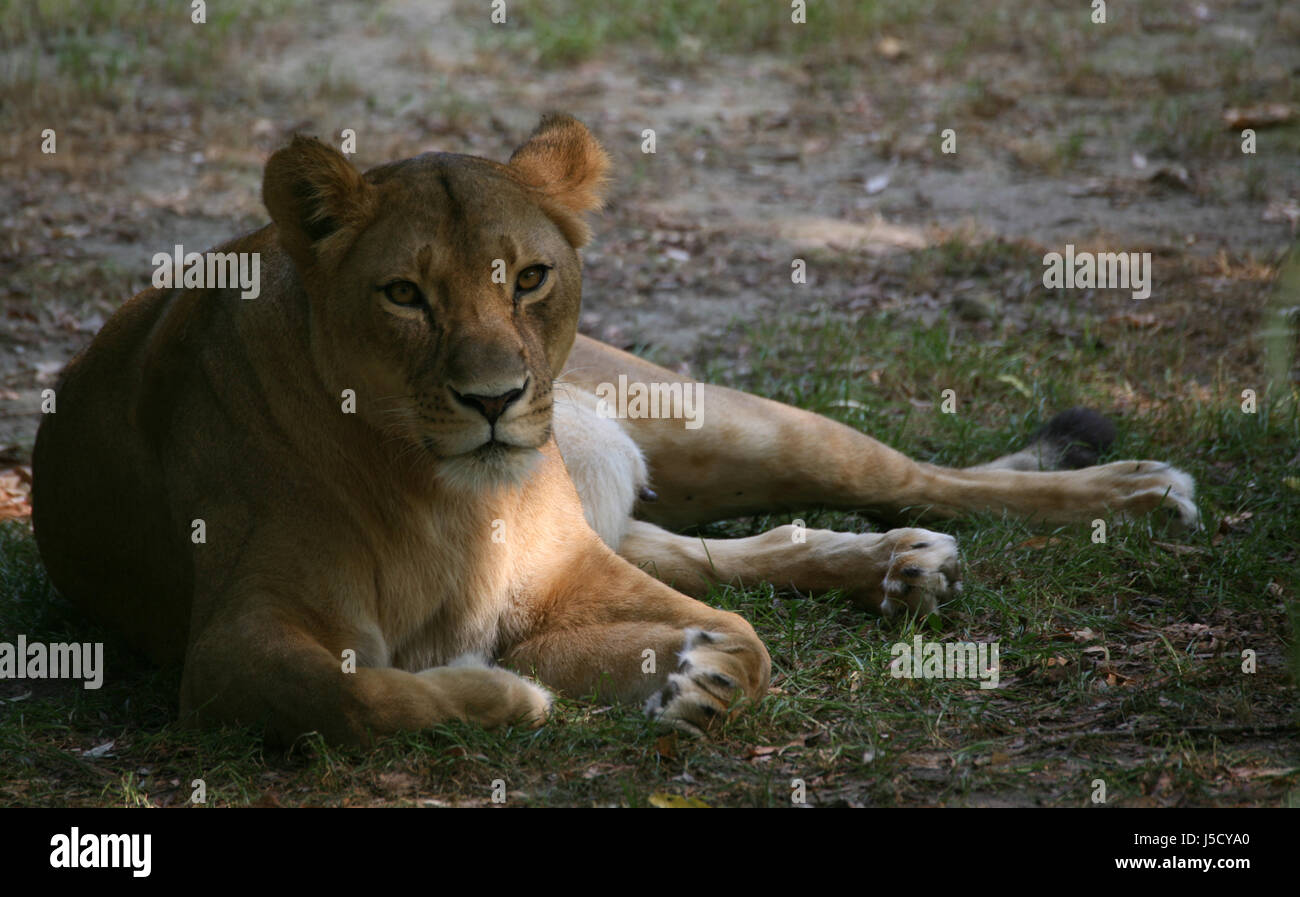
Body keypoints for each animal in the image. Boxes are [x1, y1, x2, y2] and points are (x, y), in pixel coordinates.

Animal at [31, 114, 1197, 745]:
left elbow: (744, 639)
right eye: (405, 293)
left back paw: (1128, 493)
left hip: (717, 421)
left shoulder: (561, 579)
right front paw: (511, 689)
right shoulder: (232, 638)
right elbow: (346, 691)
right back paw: (897, 568)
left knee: (911, 475)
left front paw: (700, 677)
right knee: (726, 545)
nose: (496, 400)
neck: (439, 493)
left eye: (529, 277)